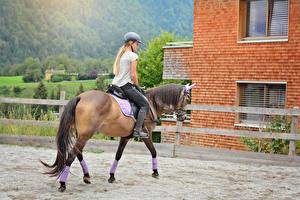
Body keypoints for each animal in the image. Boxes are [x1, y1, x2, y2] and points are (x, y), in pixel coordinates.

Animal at [41, 83, 195, 192]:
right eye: (187, 99)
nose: (182, 117)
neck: (152, 103)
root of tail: (81, 97)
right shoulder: (146, 135)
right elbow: (153, 151)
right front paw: (155, 172)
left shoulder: (125, 137)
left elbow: (118, 155)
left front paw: (111, 176)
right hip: (85, 135)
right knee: (72, 155)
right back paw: (63, 183)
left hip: (81, 135)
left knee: (78, 153)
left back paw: (87, 176)